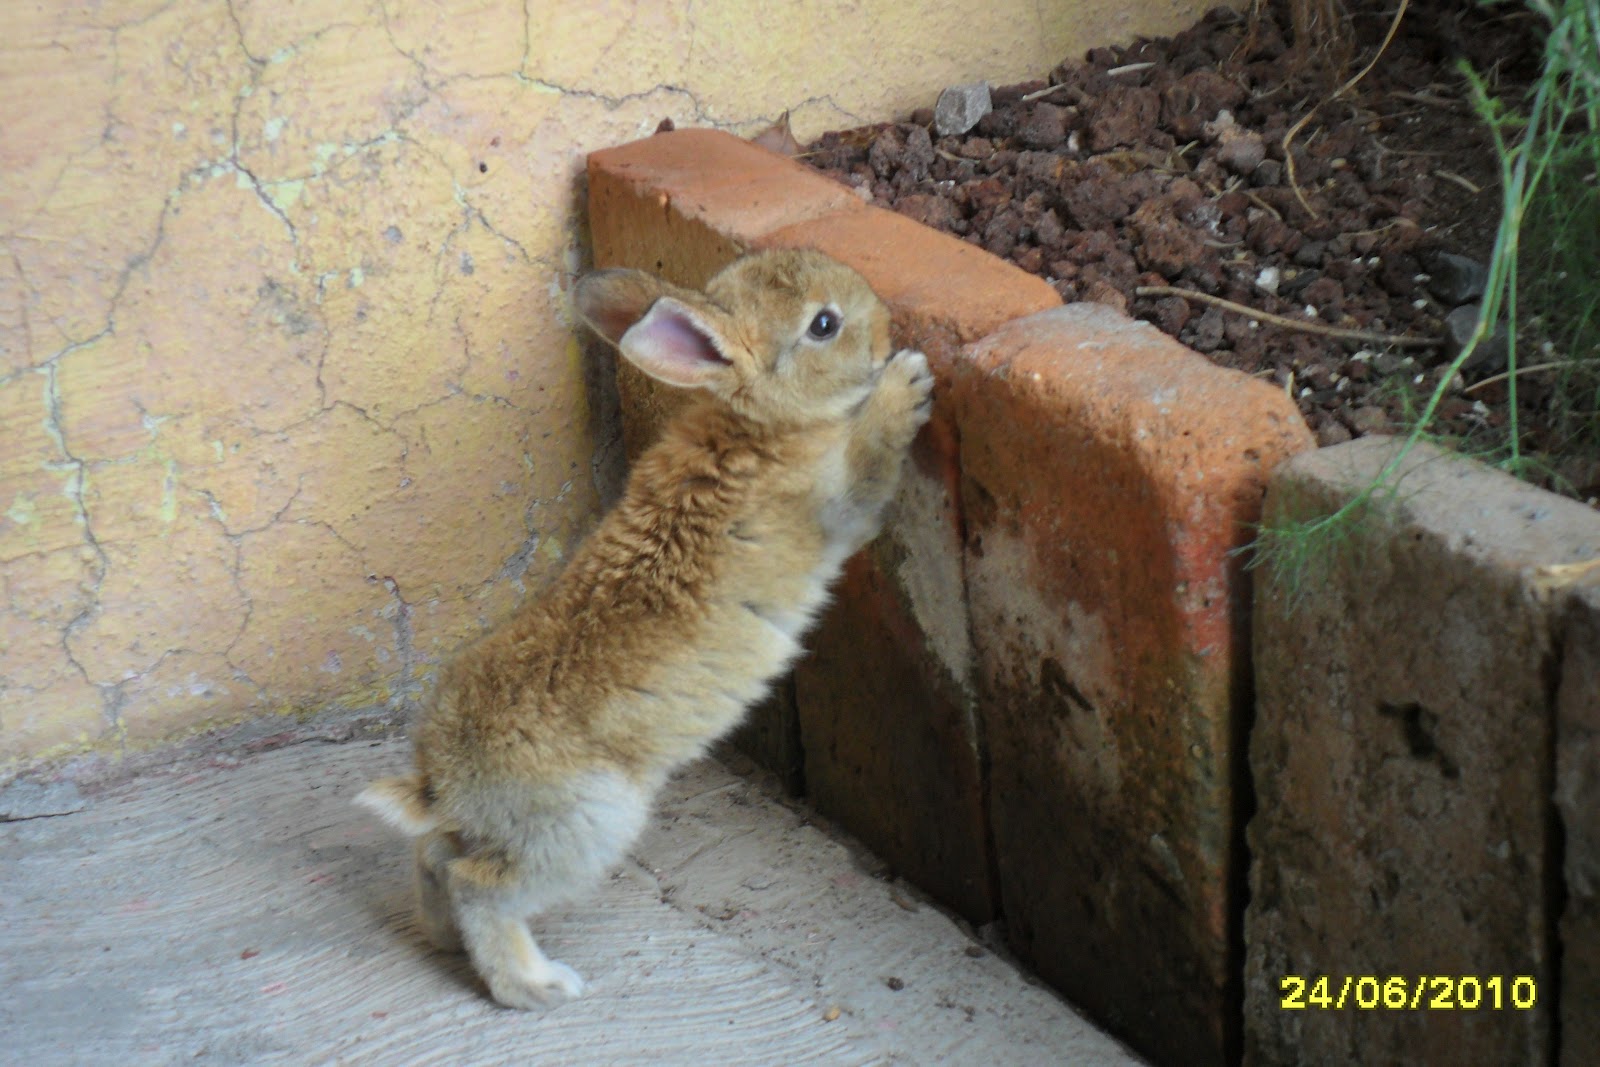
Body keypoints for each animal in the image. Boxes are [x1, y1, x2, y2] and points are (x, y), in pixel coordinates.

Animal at [355, 248, 933, 1011]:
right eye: (824, 326)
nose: (889, 326)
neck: (755, 423)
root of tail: (442, 779)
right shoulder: (839, 502)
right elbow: (871, 465)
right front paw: (907, 383)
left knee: (437, 856)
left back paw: (448, 941)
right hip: (587, 826)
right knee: (481, 887)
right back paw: (539, 986)